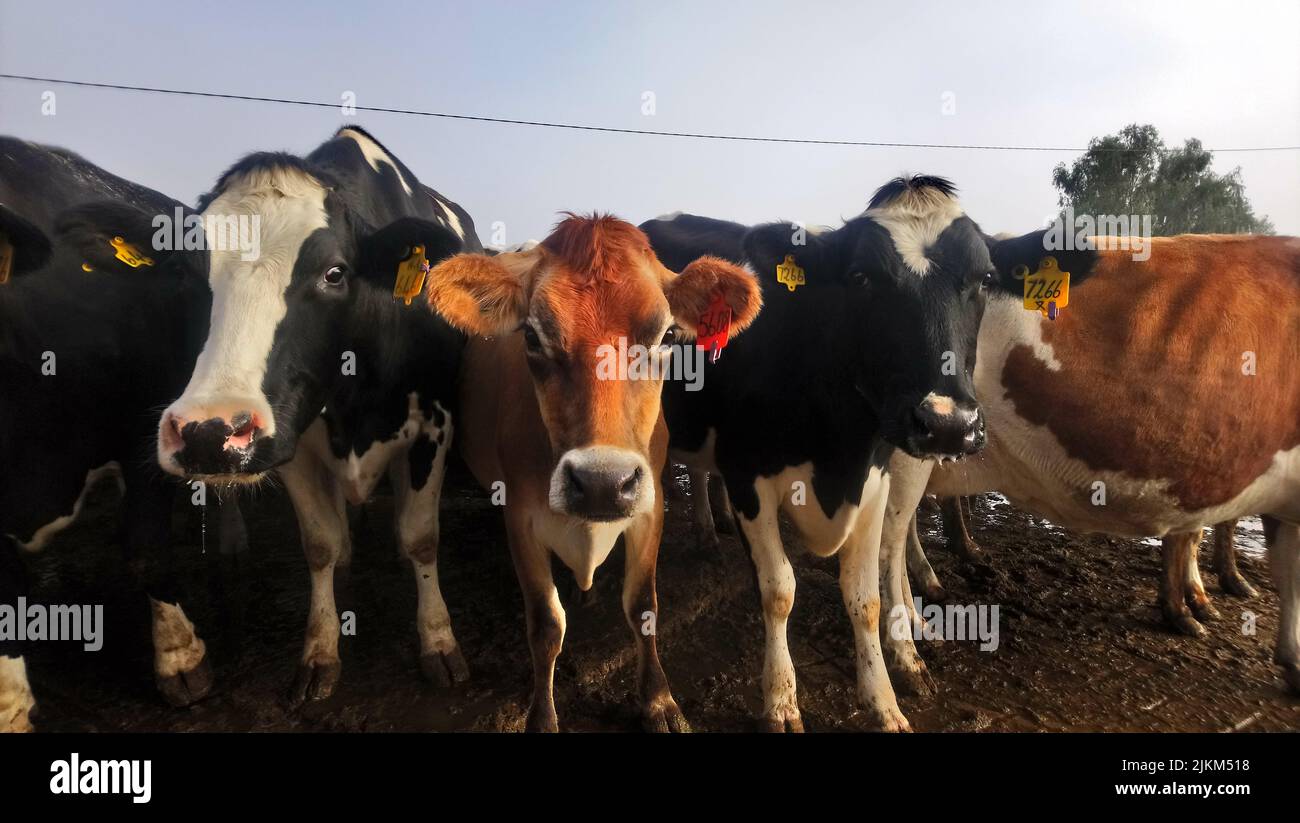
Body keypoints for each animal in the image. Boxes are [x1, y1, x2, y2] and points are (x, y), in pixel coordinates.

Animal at [71, 126, 480, 702]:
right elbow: (320, 544)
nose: (209, 432)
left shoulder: (434, 426)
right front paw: (320, 652)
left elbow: (421, 537)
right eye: (184, 271)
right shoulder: (292, 444)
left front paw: (438, 641)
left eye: (334, 273)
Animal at [423, 213, 761, 731]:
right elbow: (545, 625)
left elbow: (643, 607)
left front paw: (658, 700)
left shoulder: (649, 509)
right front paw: (542, 716)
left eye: (666, 336)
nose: (603, 483)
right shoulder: (520, 520)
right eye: (531, 336)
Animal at [641, 175, 1000, 732]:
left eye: (984, 278)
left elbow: (865, 595)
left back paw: (708, 527)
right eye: (860, 277)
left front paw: (884, 702)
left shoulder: (875, 478)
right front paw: (781, 701)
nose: (947, 424)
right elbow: (779, 590)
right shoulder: (748, 477)